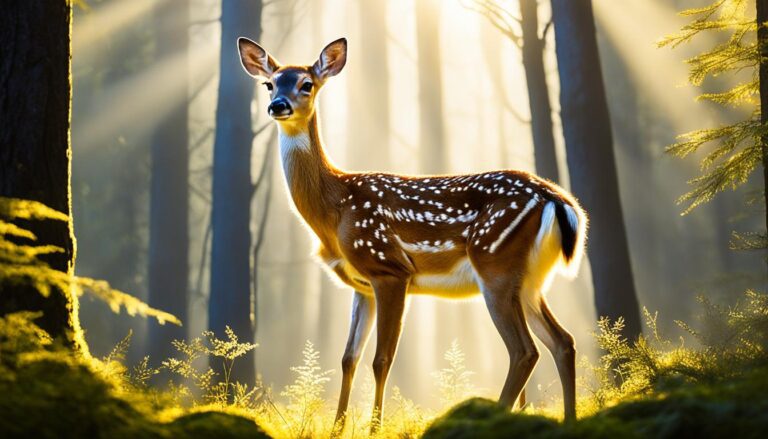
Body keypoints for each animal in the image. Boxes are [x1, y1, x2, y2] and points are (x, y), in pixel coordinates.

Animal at [237, 37, 587, 430]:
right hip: (529, 279)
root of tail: (558, 200)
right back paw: (570, 420)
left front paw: (374, 427)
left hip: (495, 262)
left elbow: (381, 359)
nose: (277, 106)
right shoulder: (362, 285)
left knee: (524, 351)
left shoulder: (389, 268)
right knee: (563, 341)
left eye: (306, 84)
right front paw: (337, 427)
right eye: (269, 84)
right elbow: (348, 358)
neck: (335, 209)